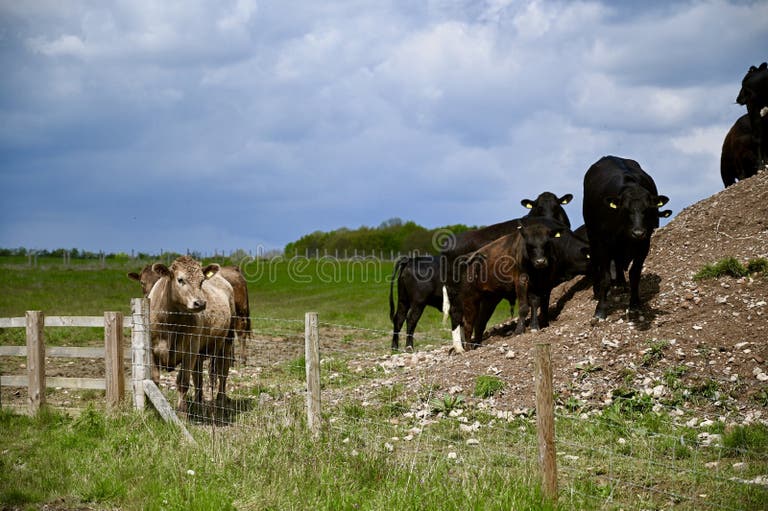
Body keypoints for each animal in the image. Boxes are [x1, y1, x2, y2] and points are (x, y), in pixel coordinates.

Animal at [147, 256, 236, 413]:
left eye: (201, 280)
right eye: (180, 279)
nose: (200, 303)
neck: (171, 323)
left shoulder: (190, 349)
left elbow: (183, 381)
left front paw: (182, 411)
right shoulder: (152, 349)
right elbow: (155, 379)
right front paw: (154, 407)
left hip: (226, 341)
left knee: (222, 371)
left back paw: (221, 399)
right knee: (198, 376)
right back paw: (198, 402)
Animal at [582, 156, 669, 320]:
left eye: (648, 209)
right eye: (625, 209)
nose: (638, 232)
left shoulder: (644, 243)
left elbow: (635, 274)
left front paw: (634, 306)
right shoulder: (603, 243)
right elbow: (605, 277)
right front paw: (600, 310)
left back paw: (621, 283)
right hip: (592, 234)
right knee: (597, 261)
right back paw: (598, 291)